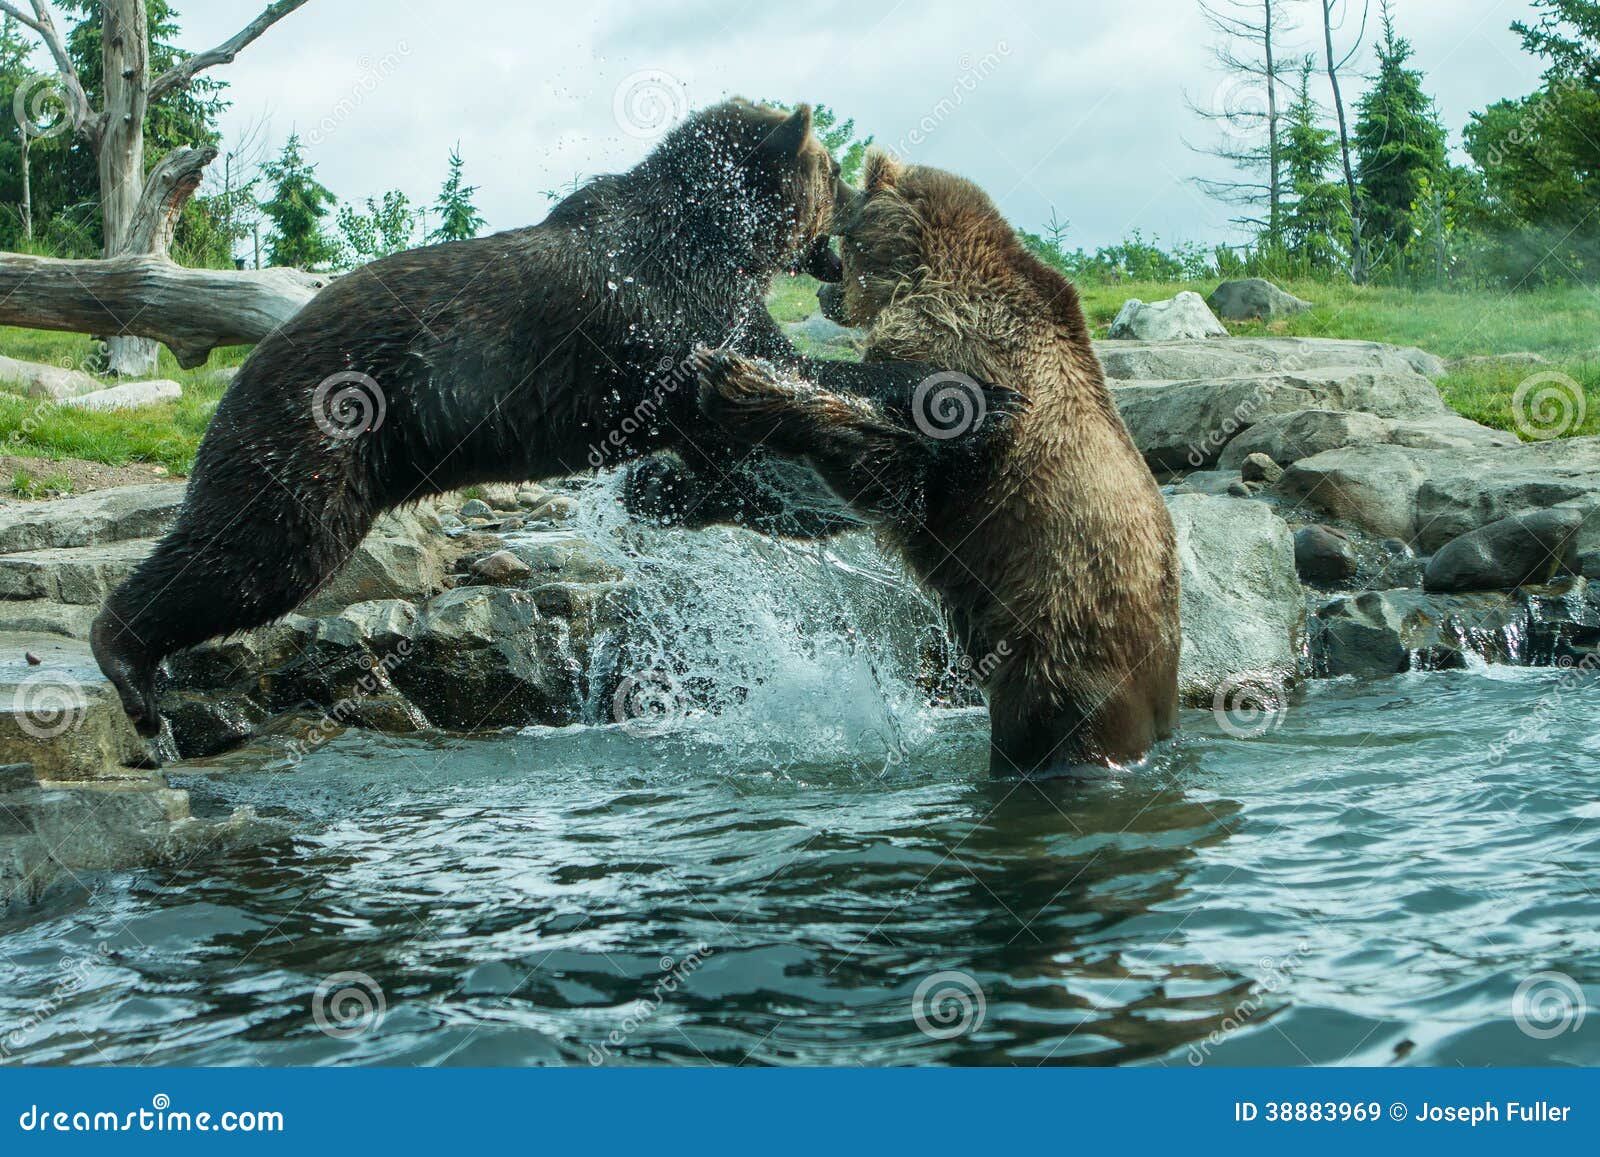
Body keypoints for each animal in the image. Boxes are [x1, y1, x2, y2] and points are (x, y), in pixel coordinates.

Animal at [91, 101, 960, 737]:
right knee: (256, 549)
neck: (714, 235)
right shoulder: (677, 314)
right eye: (835, 171)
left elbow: (742, 455)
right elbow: (763, 390)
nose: (855, 204)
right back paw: (129, 661)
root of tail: (246, 362)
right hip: (319, 431)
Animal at [693, 150, 1182, 773]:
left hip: (1061, 649)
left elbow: (896, 471)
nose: (821, 285)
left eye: (844, 215)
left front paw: (737, 381)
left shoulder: (955, 363)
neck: (919, 278)